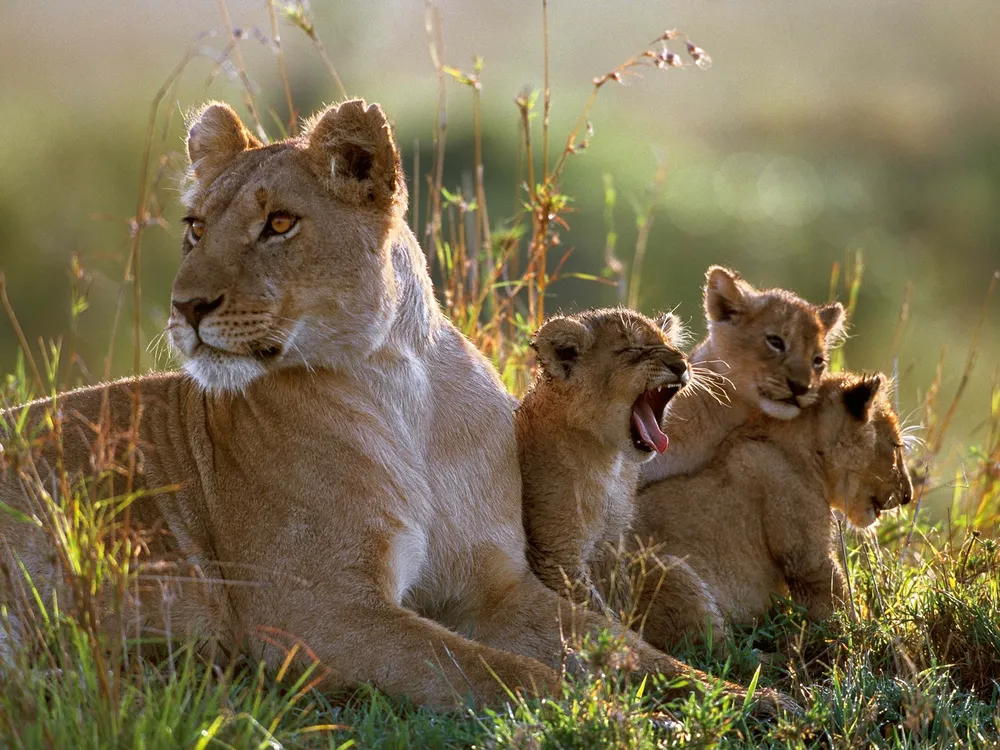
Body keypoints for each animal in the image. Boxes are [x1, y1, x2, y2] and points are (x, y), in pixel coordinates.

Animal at [516, 308, 689, 615]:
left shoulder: (611, 543)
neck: (610, 461)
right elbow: (596, 610)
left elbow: (619, 595)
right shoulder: (555, 555)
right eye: (632, 348)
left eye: (670, 343)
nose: (681, 364)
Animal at [632, 371, 913, 652]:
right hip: (669, 573)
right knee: (722, 653)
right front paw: (870, 636)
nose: (908, 495)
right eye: (897, 446)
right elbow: (837, 605)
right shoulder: (809, 559)